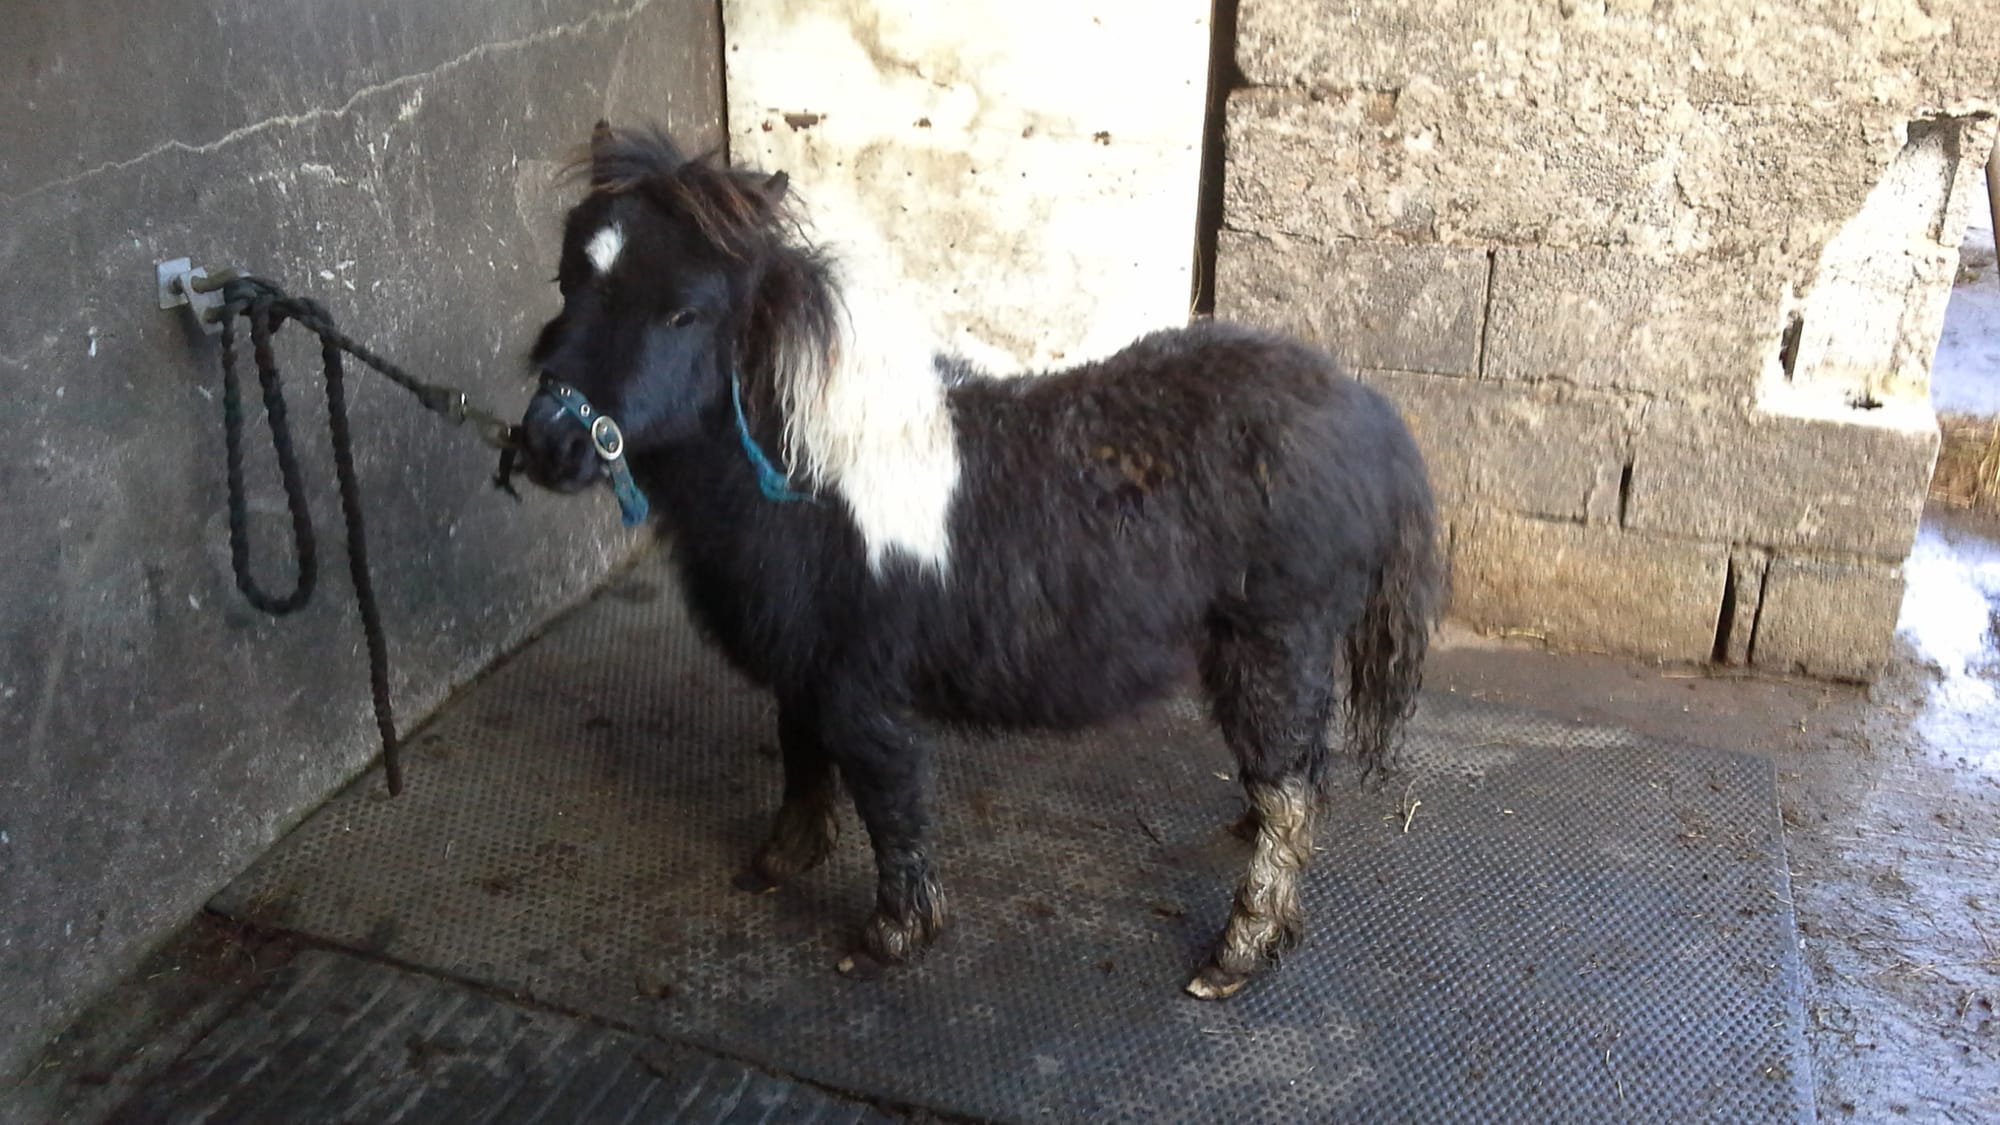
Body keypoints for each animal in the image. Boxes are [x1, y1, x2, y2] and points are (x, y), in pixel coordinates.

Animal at [513, 122, 1445, 1000]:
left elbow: (888, 798)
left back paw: (1238, 951)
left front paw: (892, 934)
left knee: (1291, 787)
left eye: (685, 311)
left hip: (1276, 641)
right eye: (566, 280)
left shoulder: (858, 683)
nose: (549, 445)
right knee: (1293, 773)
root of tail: (1373, 416)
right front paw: (780, 860)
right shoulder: (804, 665)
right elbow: (800, 752)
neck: (811, 477)